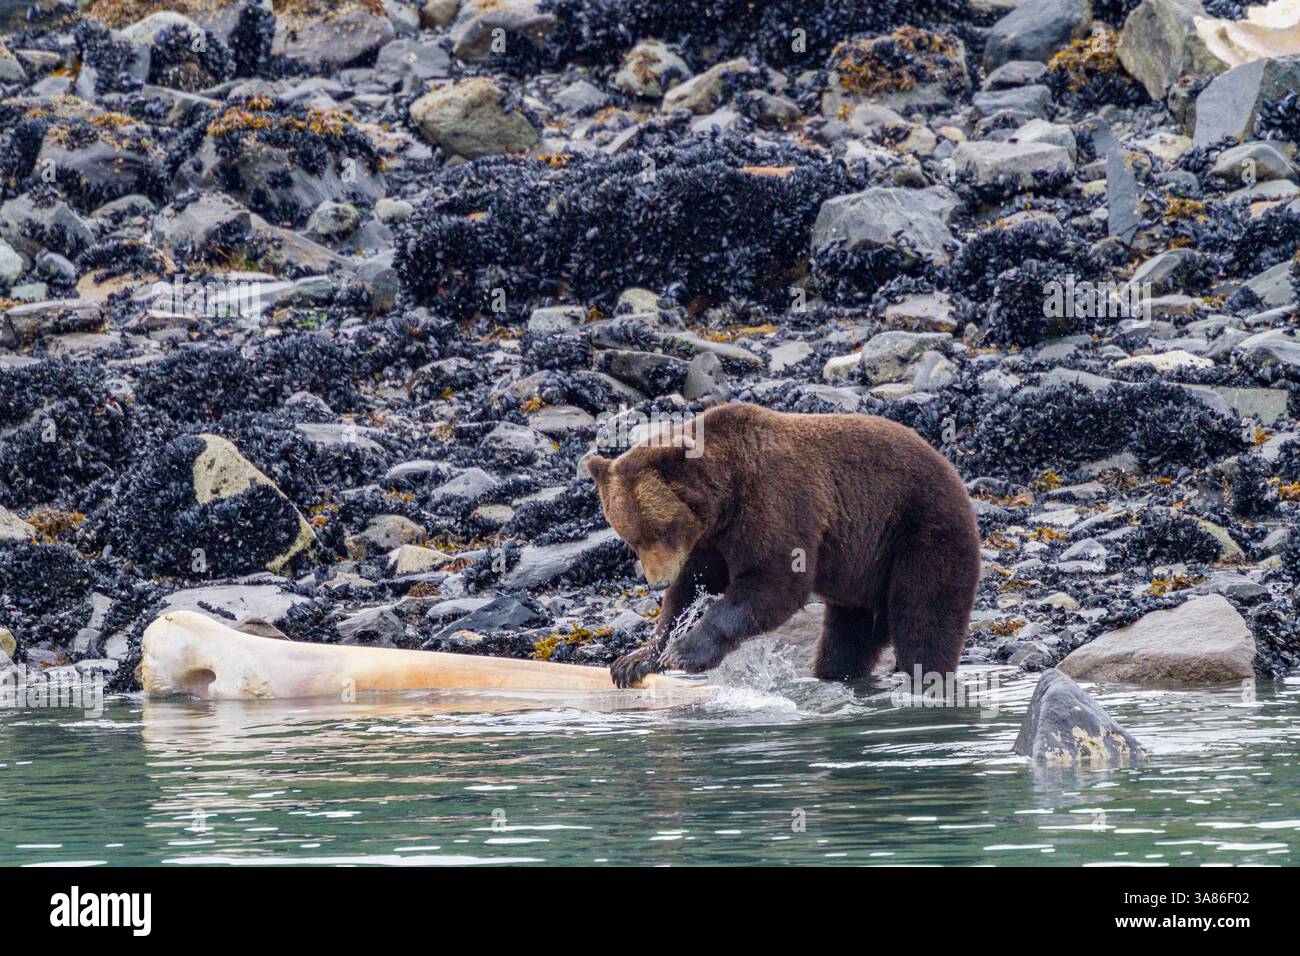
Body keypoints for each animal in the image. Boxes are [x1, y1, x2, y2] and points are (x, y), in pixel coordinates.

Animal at [585, 402, 981, 688]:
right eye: (631, 537)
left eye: (661, 529)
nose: (657, 582)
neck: (726, 497)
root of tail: (953, 472)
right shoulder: (708, 541)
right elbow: (690, 591)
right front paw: (635, 660)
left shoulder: (776, 502)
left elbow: (773, 583)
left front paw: (685, 651)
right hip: (866, 567)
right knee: (848, 636)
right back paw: (837, 674)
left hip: (921, 530)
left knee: (925, 616)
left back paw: (924, 676)